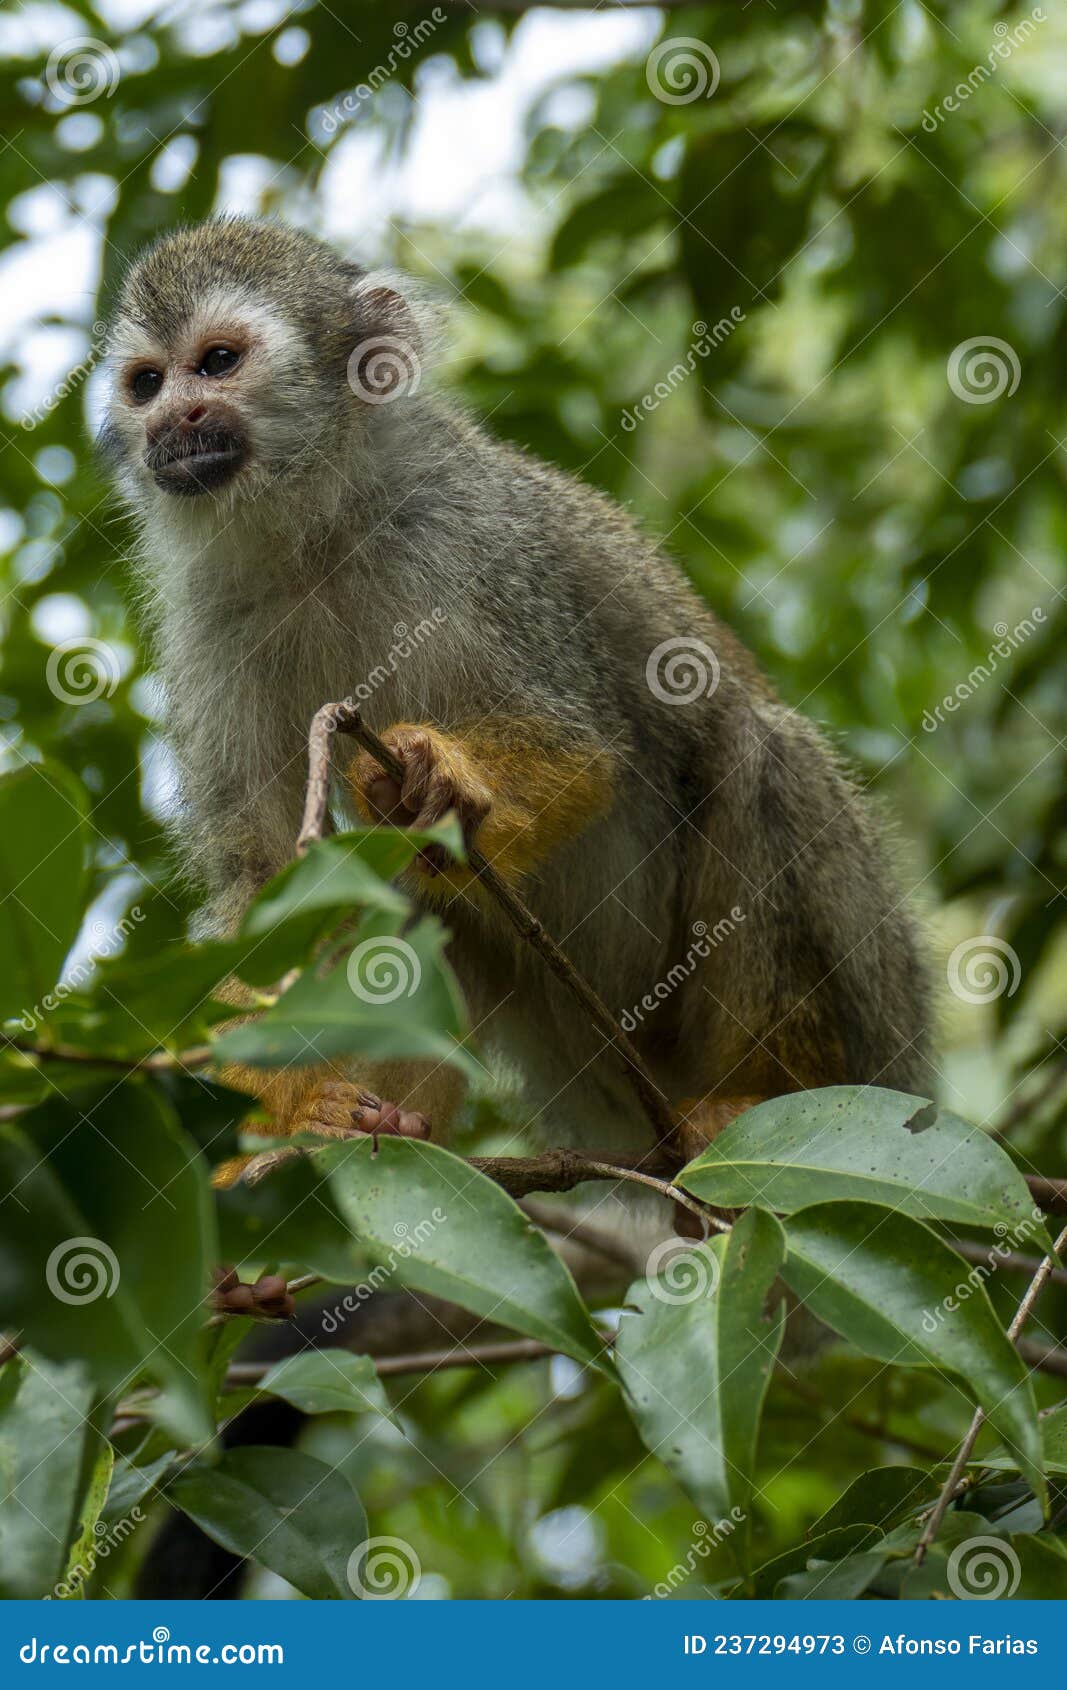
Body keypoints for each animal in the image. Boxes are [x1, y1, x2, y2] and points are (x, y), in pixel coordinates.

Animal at [98, 215, 931, 1189]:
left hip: (880, 1014)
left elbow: (579, 747)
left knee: (761, 756)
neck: (316, 530)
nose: (172, 422)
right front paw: (283, 1123)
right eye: (147, 382)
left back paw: (761, 1097)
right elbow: (269, 878)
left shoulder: (477, 536)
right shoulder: (206, 622)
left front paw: (445, 784)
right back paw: (386, 1123)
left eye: (218, 362)